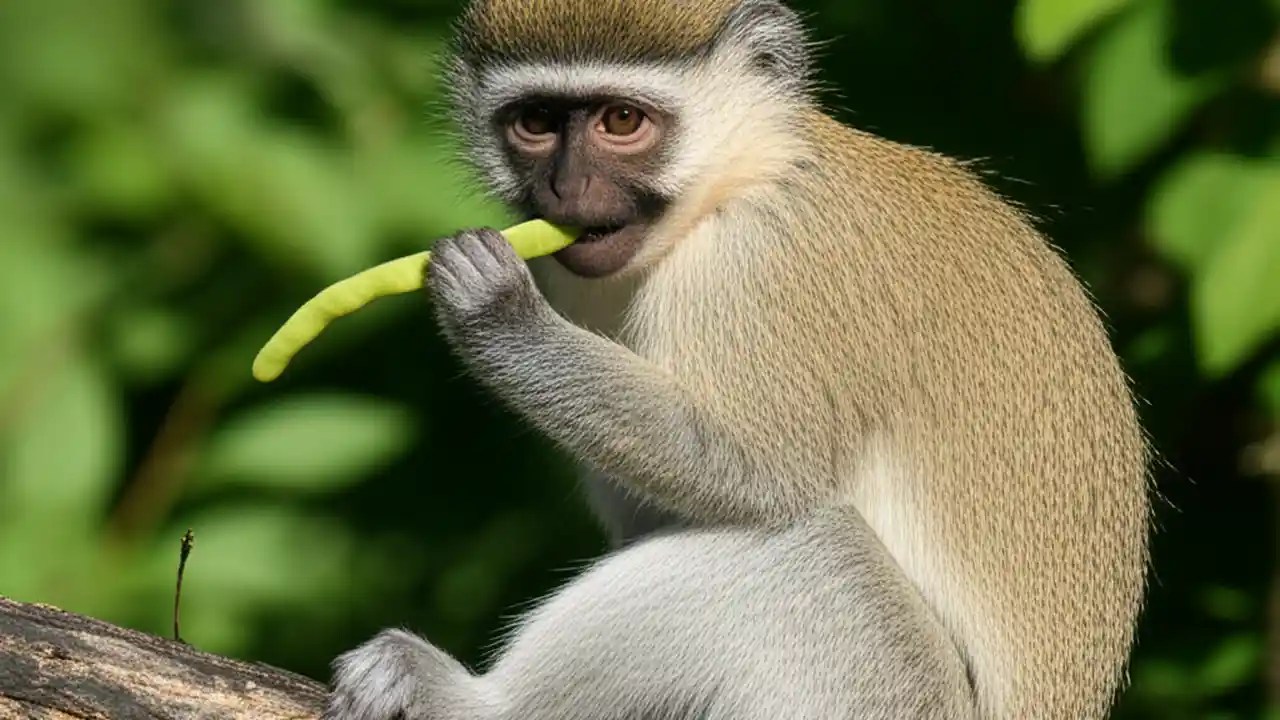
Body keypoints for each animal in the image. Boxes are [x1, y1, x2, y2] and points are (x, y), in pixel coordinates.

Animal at [324, 1, 1151, 718]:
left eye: (621, 121)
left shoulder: (764, 263)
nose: (565, 189)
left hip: (892, 694)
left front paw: (497, 316)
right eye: (535, 123)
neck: (740, 175)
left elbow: (764, 472)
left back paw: (472, 702)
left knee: (809, 549)